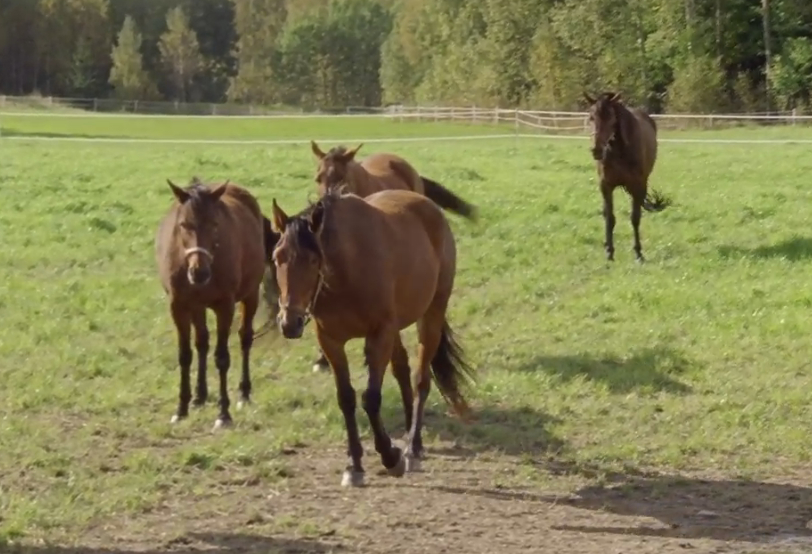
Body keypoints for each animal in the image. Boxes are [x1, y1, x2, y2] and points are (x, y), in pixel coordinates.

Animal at [155, 177, 274, 431]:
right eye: (184, 225)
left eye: (215, 223)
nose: (199, 272)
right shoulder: (179, 306)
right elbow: (185, 354)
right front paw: (181, 408)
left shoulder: (224, 306)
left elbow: (222, 357)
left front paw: (223, 413)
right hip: (197, 307)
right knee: (202, 342)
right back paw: (199, 396)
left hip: (250, 295)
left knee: (245, 338)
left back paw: (244, 393)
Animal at [268, 187, 476, 487]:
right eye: (277, 257)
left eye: (312, 259)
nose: (289, 323)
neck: (346, 272)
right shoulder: (331, 341)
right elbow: (346, 398)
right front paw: (353, 465)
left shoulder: (379, 335)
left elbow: (371, 398)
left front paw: (390, 456)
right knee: (402, 369)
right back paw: (411, 434)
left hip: (432, 314)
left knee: (421, 379)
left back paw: (413, 447)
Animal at [583, 92, 672, 262]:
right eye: (591, 117)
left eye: (611, 118)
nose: (596, 150)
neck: (619, 151)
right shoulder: (606, 186)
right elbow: (609, 218)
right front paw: (609, 252)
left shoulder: (636, 186)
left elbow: (635, 218)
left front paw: (638, 253)